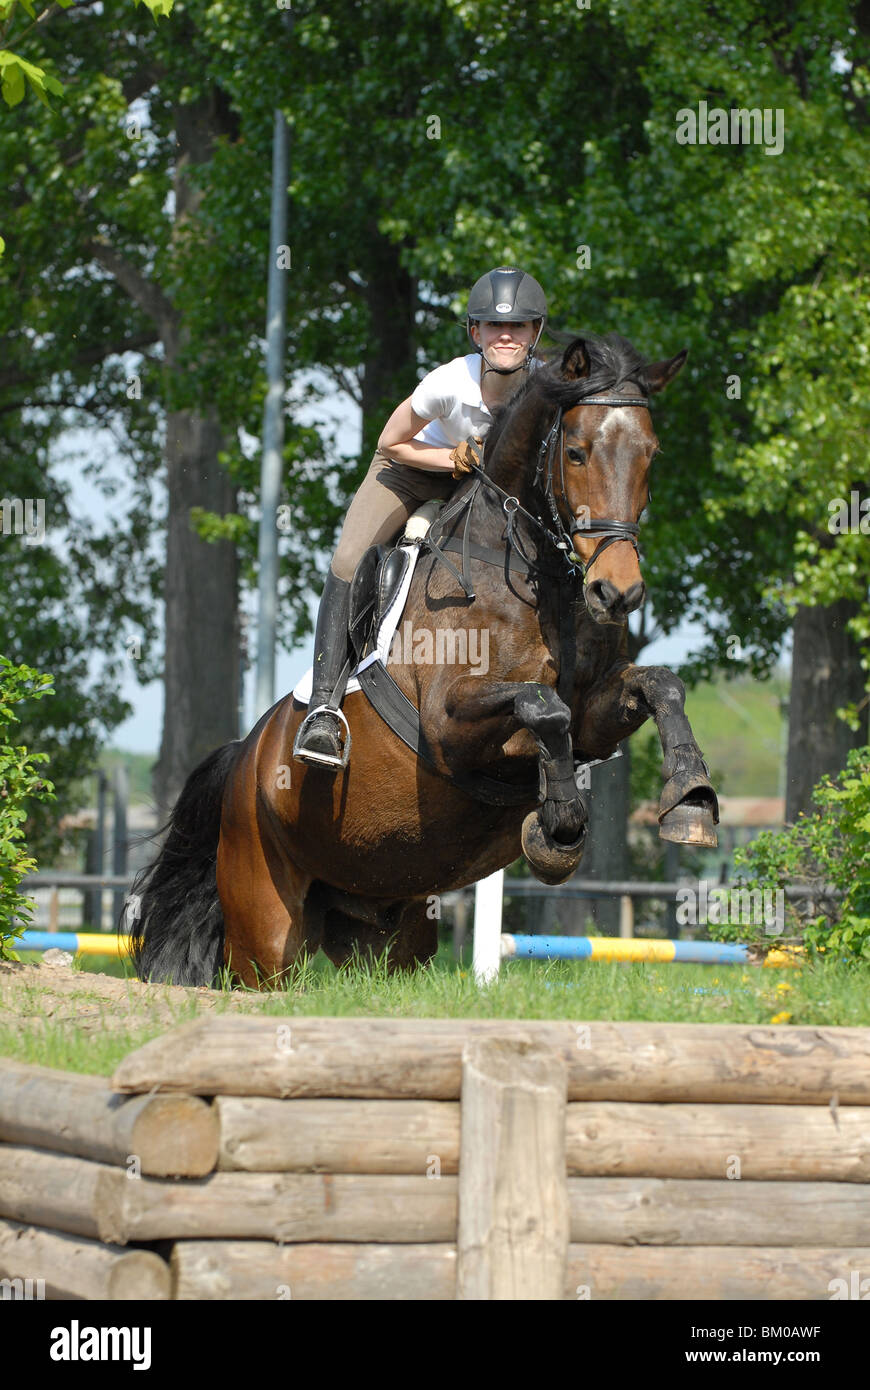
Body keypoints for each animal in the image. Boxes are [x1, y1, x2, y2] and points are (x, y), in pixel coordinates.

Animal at [128, 332, 718, 987]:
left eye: (651, 455)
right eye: (576, 452)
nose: (617, 593)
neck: (534, 576)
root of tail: (242, 760)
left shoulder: (594, 714)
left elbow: (659, 685)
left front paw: (691, 799)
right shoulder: (447, 725)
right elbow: (543, 705)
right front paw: (558, 826)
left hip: (394, 932)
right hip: (264, 928)